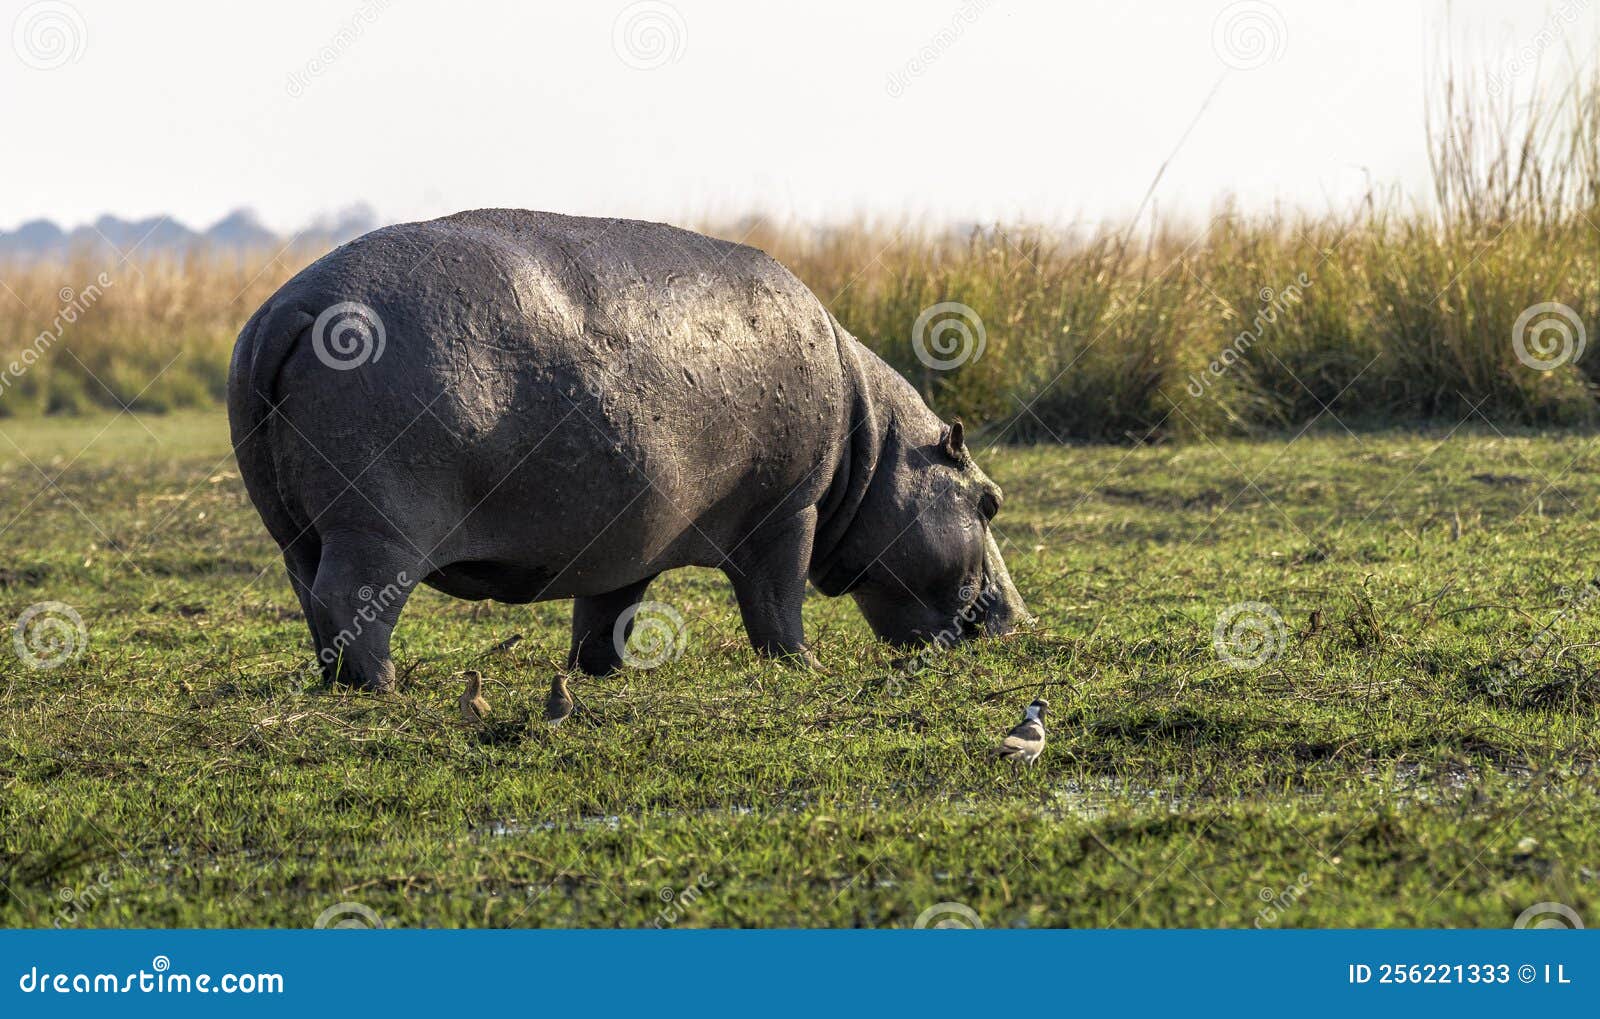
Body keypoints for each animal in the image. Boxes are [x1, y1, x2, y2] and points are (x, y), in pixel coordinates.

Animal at [228, 209, 1029, 691]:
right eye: (990, 501)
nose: (1020, 622)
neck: (877, 447)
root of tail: (284, 310)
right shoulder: (789, 511)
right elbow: (776, 599)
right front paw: (805, 664)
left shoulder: (629, 532)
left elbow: (609, 609)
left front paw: (598, 674)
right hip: (378, 530)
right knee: (350, 599)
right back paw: (383, 686)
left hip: (297, 534)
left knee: (312, 596)